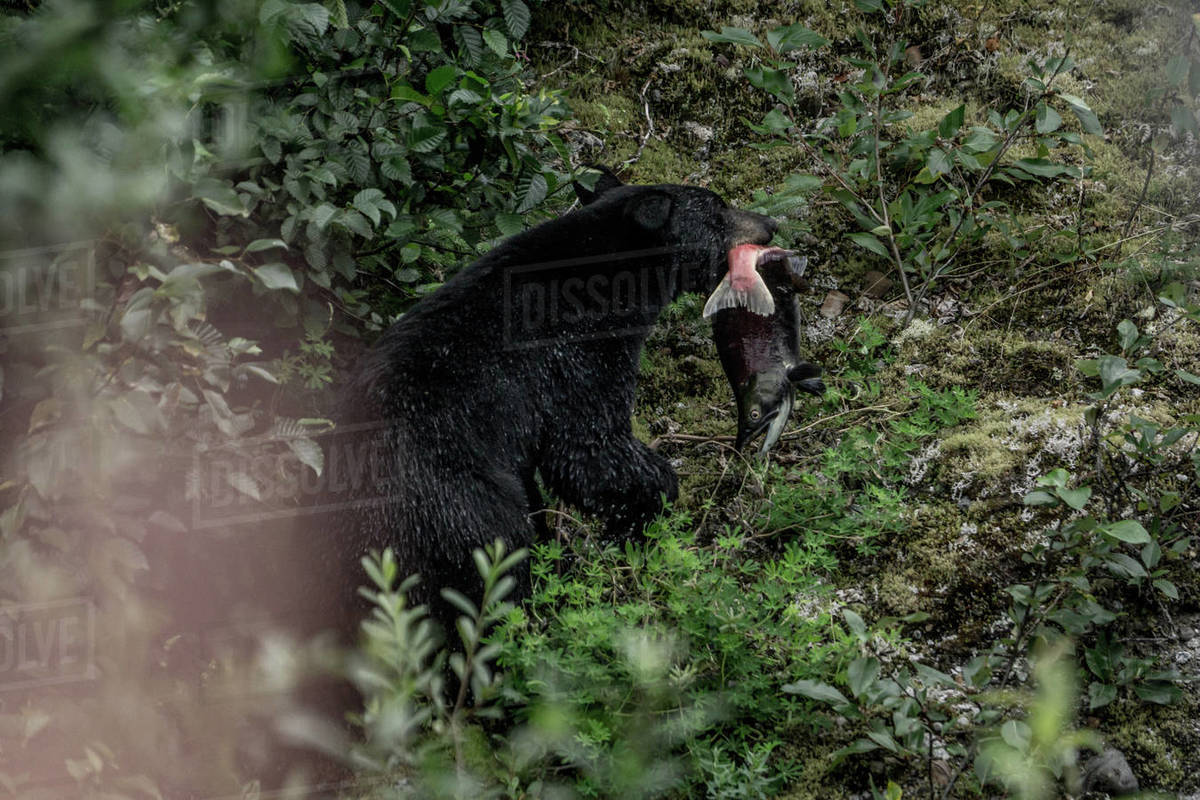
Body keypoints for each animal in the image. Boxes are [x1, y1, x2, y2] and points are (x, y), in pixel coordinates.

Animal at [332, 170, 781, 626]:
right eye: (718, 208)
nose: (770, 224)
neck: (609, 279)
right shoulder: (571, 355)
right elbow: (587, 449)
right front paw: (653, 499)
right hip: (456, 501)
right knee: (496, 554)